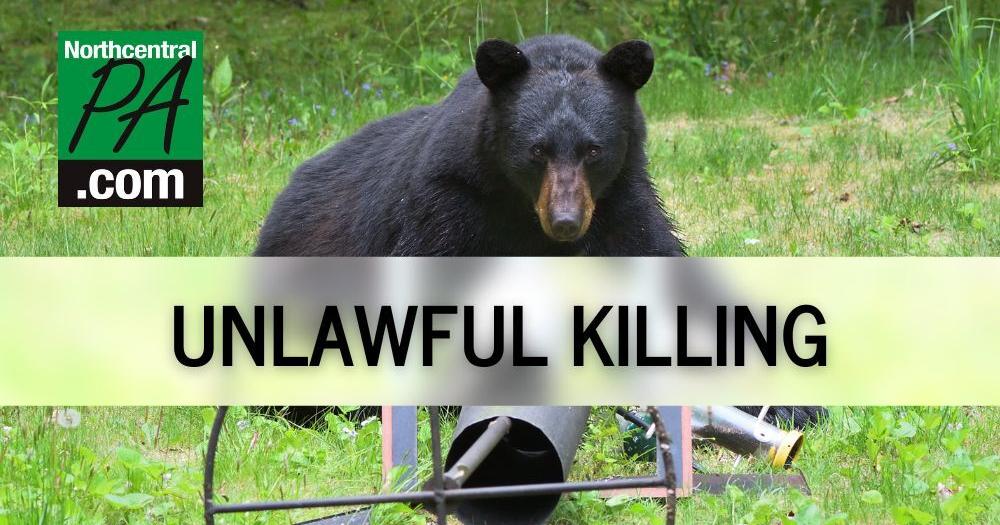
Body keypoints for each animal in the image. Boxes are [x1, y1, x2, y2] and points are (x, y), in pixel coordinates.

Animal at [255, 35, 823, 429]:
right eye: (537, 150)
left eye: (593, 149)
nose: (566, 223)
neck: (520, 208)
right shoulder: (448, 208)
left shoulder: (620, 206)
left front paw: (790, 402)